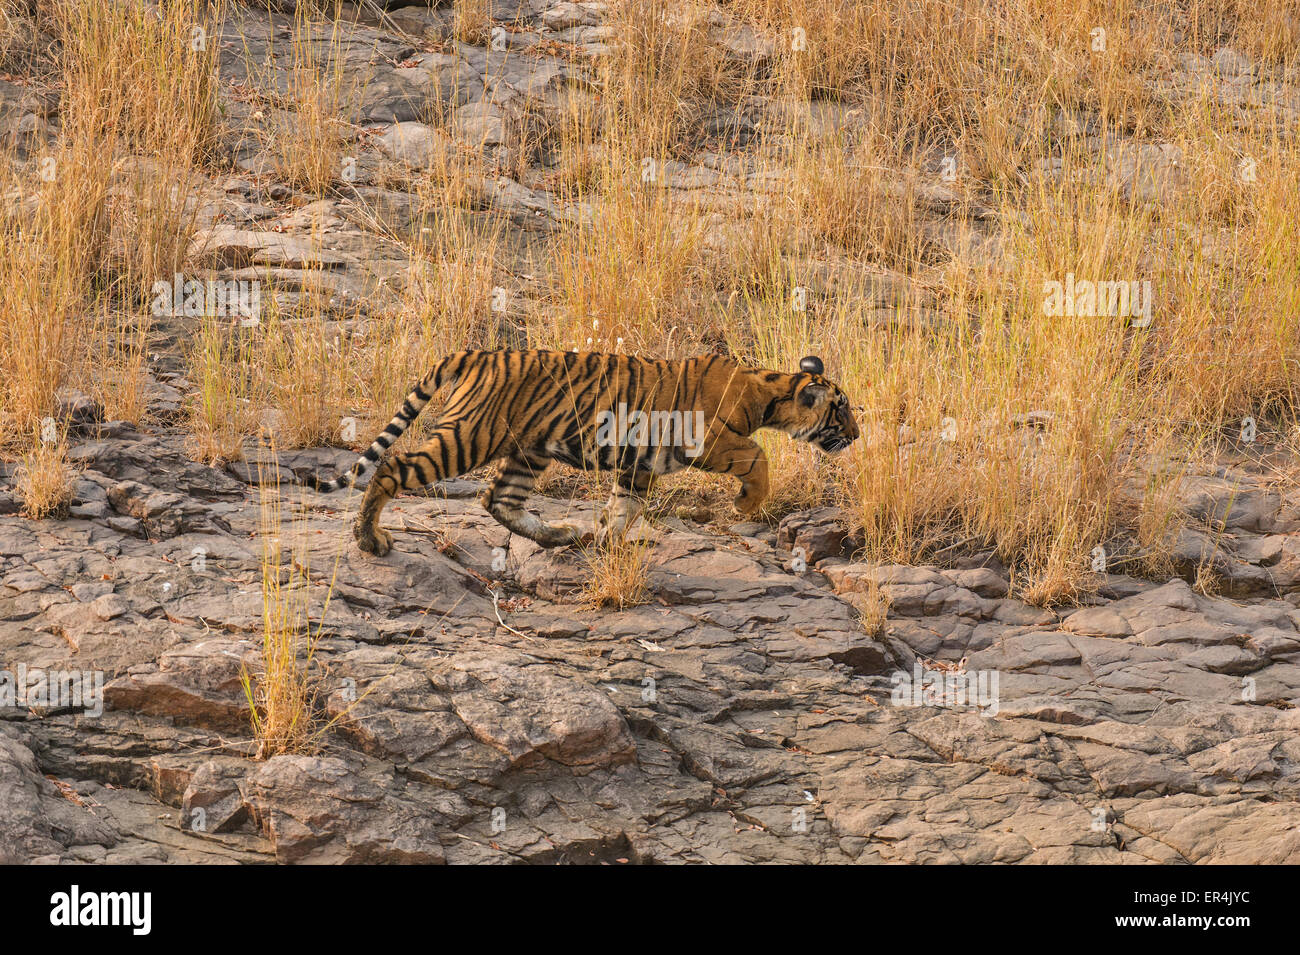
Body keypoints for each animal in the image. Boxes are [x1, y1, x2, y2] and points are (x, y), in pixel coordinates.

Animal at [308, 349, 860, 556]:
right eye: (842, 411)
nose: (857, 435)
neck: (772, 391)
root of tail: (476, 352)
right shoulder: (709, 440)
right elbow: (757, 457)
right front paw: (748, 503)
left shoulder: (640, 465)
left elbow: (624, 508)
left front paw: (604, 543)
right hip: (469, 436)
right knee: (394, 467)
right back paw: (369, 539)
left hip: (528, 450)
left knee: (498, 499)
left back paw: (559, 535)